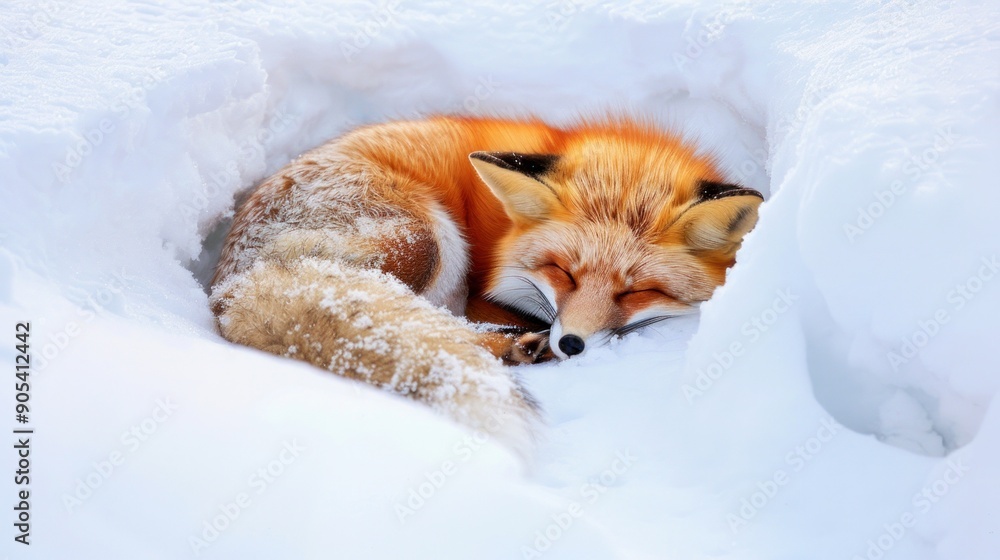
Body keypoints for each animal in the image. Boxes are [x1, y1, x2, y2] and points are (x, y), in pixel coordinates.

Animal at [209, 115, 763, 456]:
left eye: (635, 291)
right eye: (564, 272)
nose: (571, 344)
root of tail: (232, 287)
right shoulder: (482, 292)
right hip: (425, 239)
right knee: (411, 318)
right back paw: (513, 347)